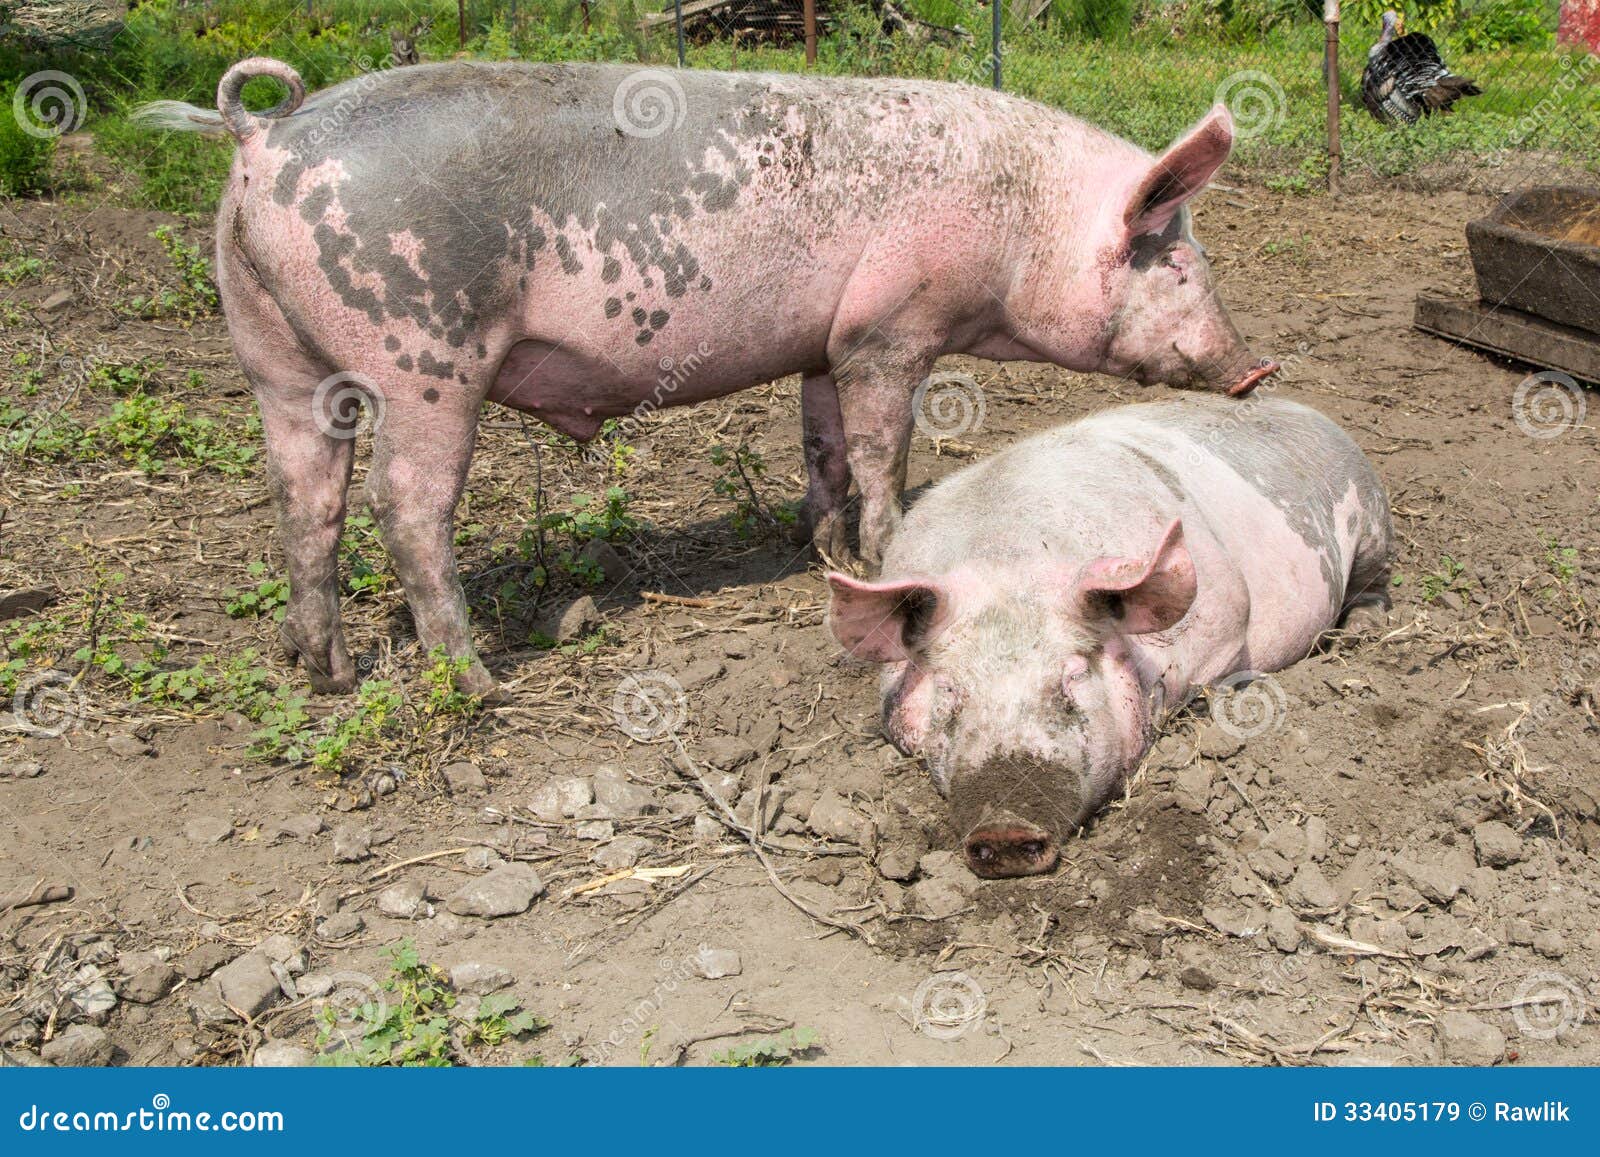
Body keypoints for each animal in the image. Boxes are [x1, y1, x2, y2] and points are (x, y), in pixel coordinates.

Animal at [139, 58, 1276, 697]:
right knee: (405, 504)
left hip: (272, 352)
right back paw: (478, 683)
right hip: (423, 352)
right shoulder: (889, 329)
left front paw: (820, 547)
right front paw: (881, 545)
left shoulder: (822, 341)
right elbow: (882, 446)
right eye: (1181, 264)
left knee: (304, 496)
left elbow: (821, 444)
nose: (1256, 368)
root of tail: (263, 134)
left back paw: (320, 669)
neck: (1020, 222)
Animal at [827, 395, 1392, 879]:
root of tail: (1306, 410)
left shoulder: (1229, 619)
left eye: (1073, 677)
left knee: (1375, 581)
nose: (1005, 827)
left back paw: (1358, 634)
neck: (1005, 563)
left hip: (1372, 520)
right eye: (948, 689)